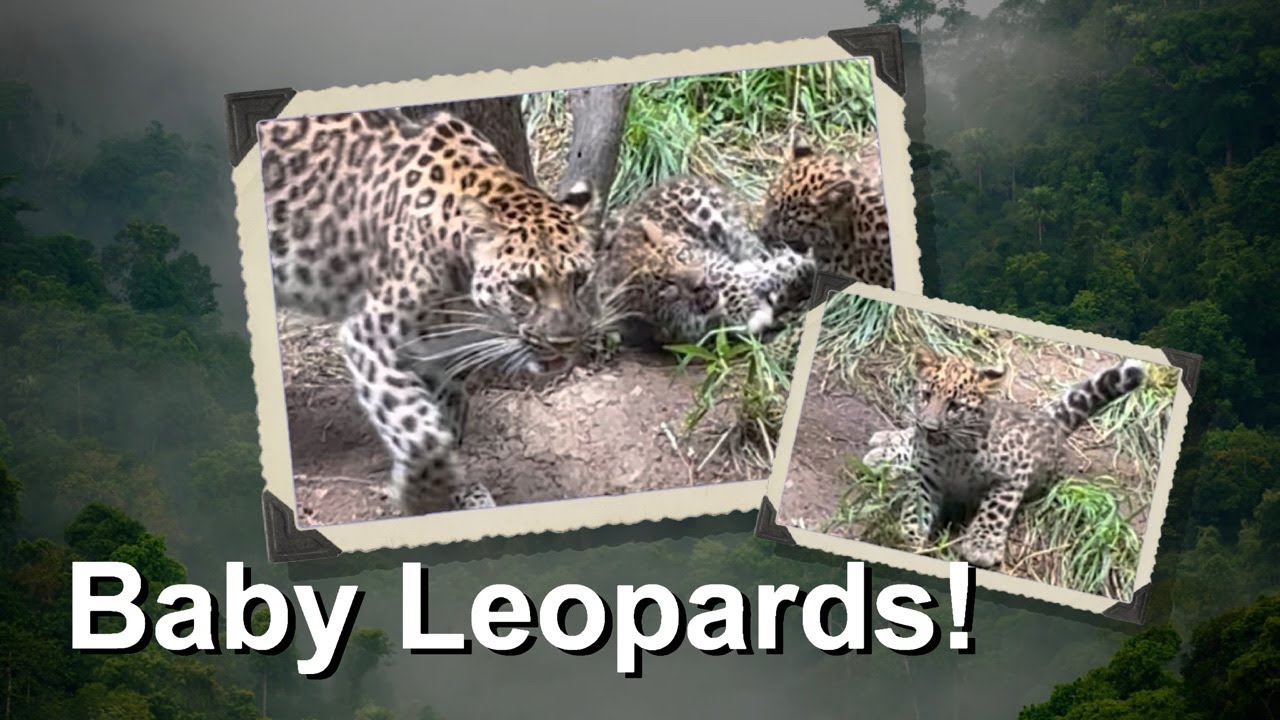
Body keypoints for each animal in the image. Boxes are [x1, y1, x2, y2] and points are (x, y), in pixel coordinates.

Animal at [258, 107, 611, 516]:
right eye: (524, 287)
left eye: (579, 279)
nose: (564, 341)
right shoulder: (369, 337)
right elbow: (418, 427)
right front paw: (422, 494)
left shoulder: (442, 353)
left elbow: (446, 419)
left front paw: (457, 492)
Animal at [600, 174, 816, 346]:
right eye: (668, 286)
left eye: (682, 256)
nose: (701, 281)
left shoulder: (714, 263)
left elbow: (741, 279)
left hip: (717, 219)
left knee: (755, 250)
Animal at [865, 347, 1146, 569]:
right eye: (926, 396)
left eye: (954, 406)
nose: (930, 427)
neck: (950, 453)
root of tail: (1046, 419)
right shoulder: (925, 475)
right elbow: (917, 503)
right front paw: (909, 534)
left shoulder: (1016, 468)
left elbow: (996, 507)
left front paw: (982, 546)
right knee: (908, 440)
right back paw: (882, 448)